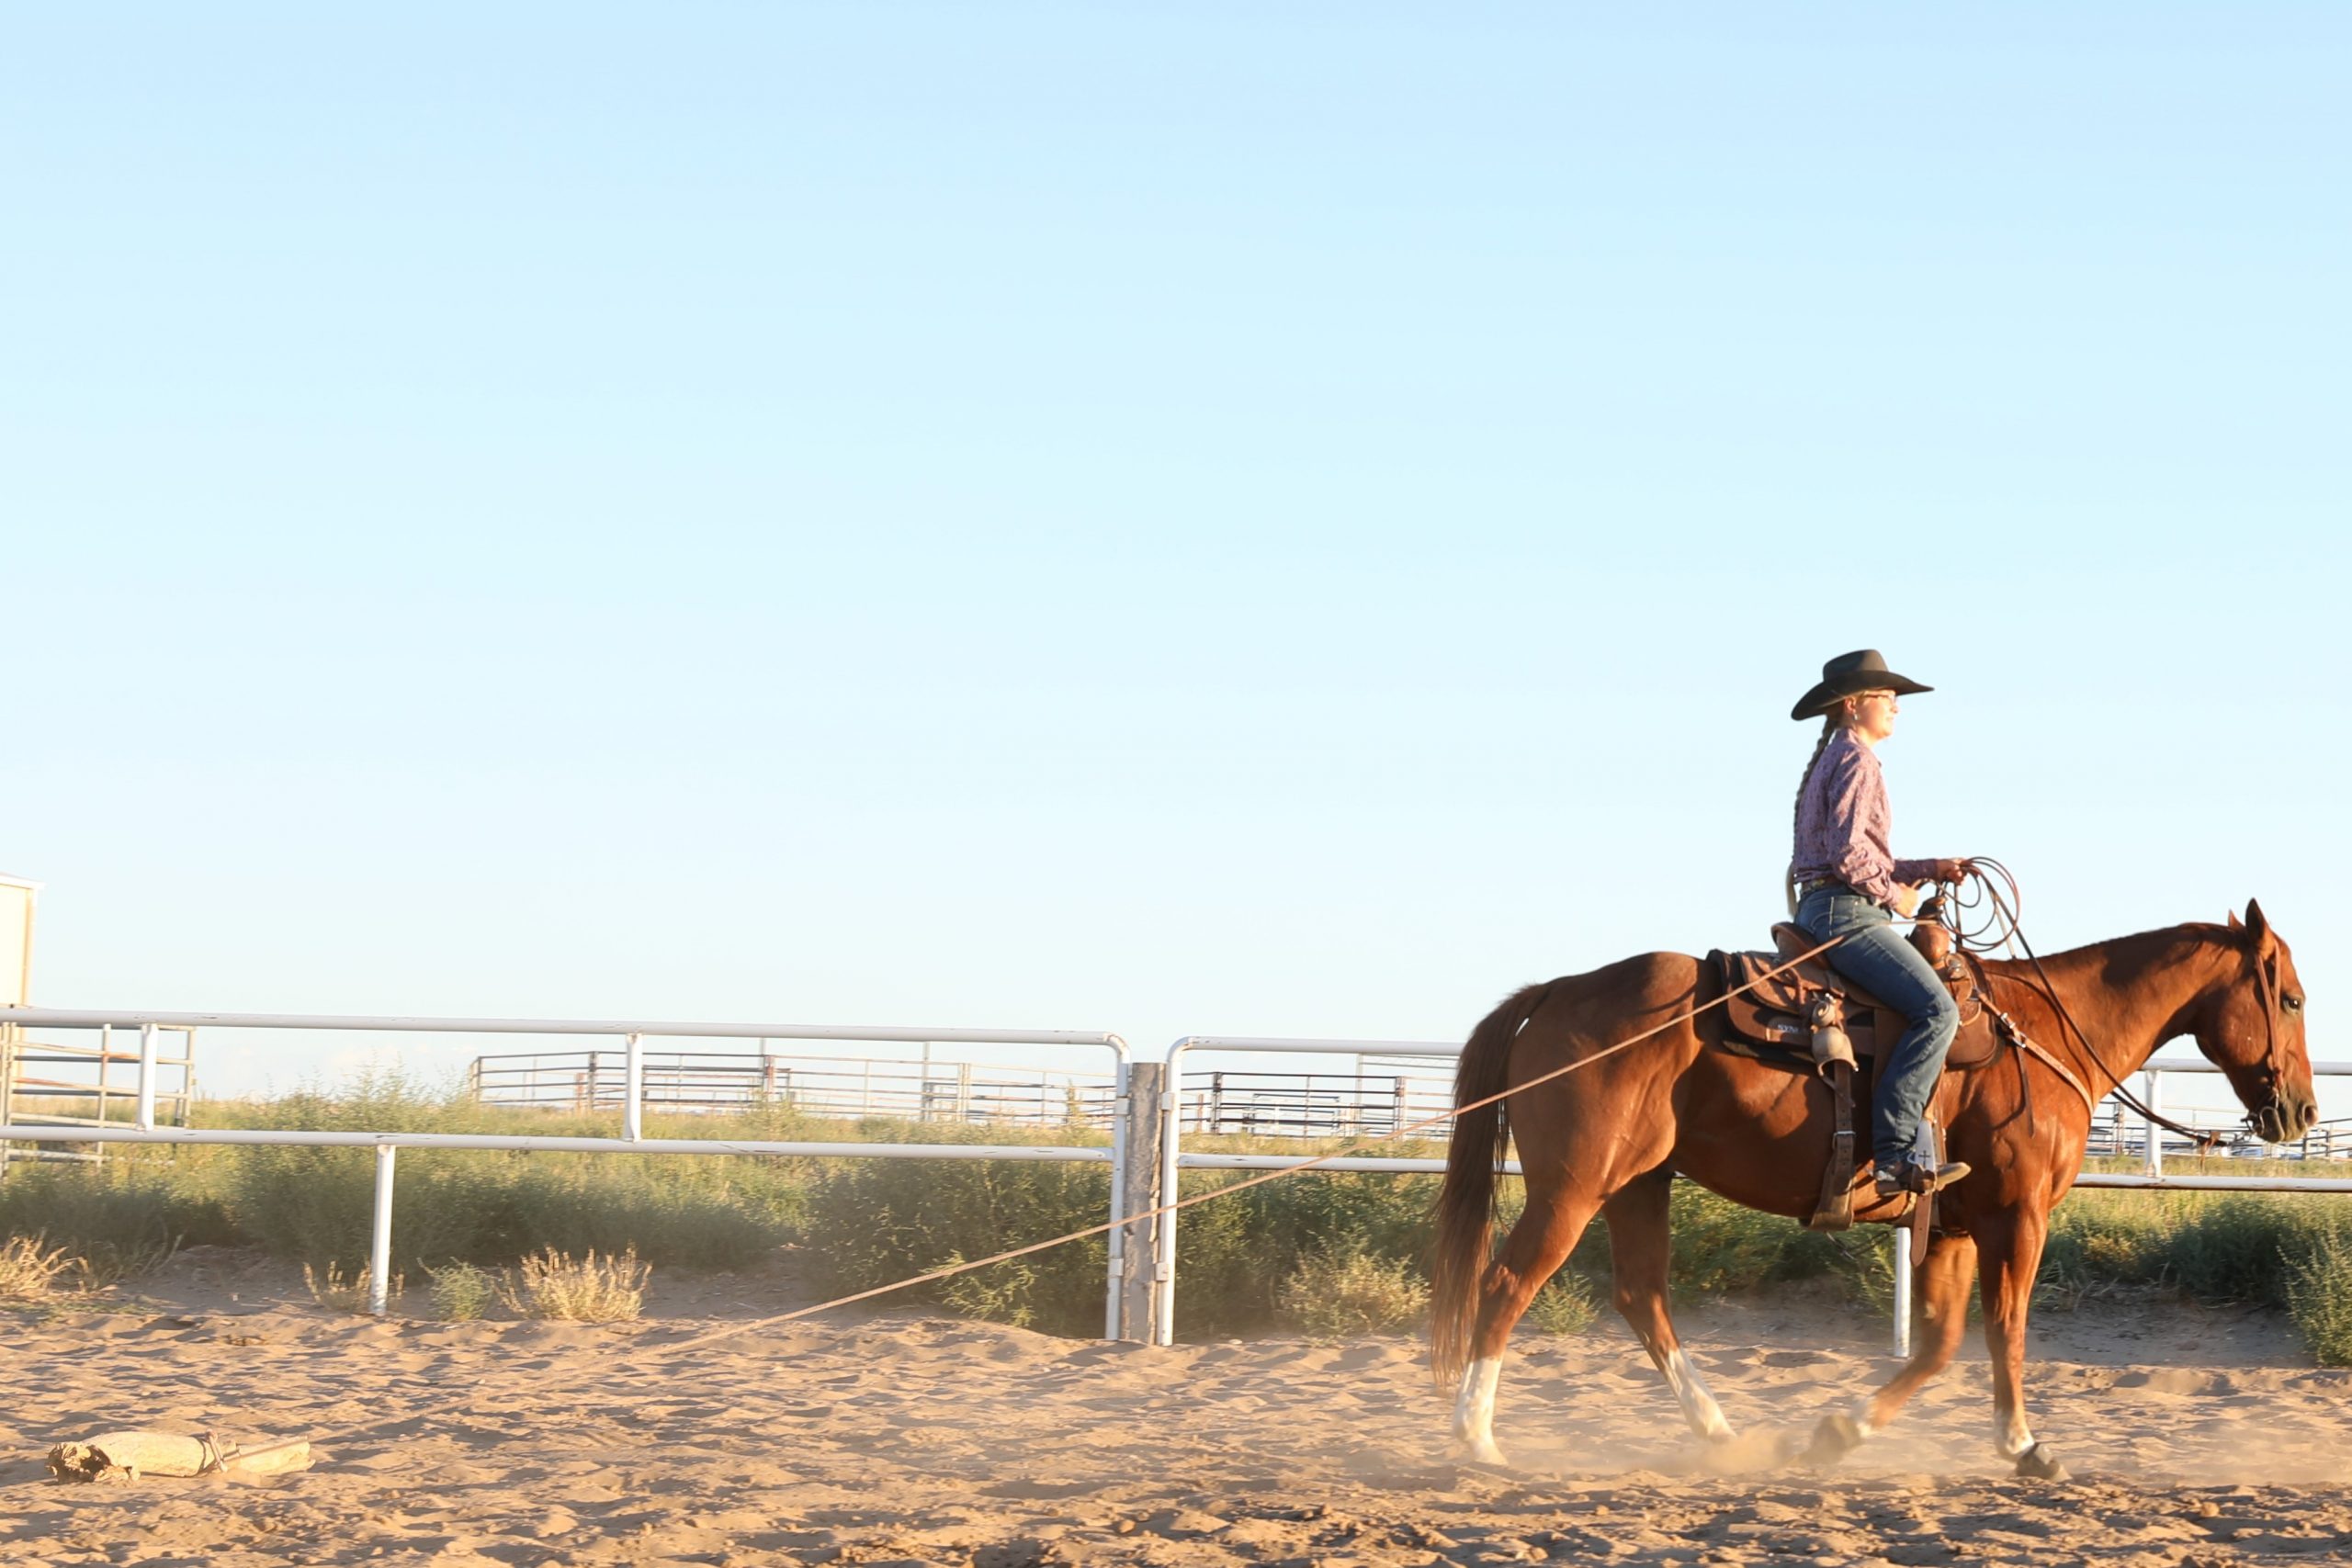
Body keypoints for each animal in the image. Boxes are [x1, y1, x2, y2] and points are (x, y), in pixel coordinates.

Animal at [1429, 899, 2316, 1480]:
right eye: (2293, 997)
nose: (2302, 1110)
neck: (2049, 1034)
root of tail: (1556, 990)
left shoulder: (1951, 1225)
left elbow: (1939, 1344)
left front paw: (1836, 1434)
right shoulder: (2016, 1215)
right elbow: (2007, 1330)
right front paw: (2025, 1445)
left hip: (1640, 1183)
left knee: (1641, 1296)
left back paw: (1722, 1433)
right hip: (1572, 1188)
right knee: (1507, 1282)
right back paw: (1476, 1437)